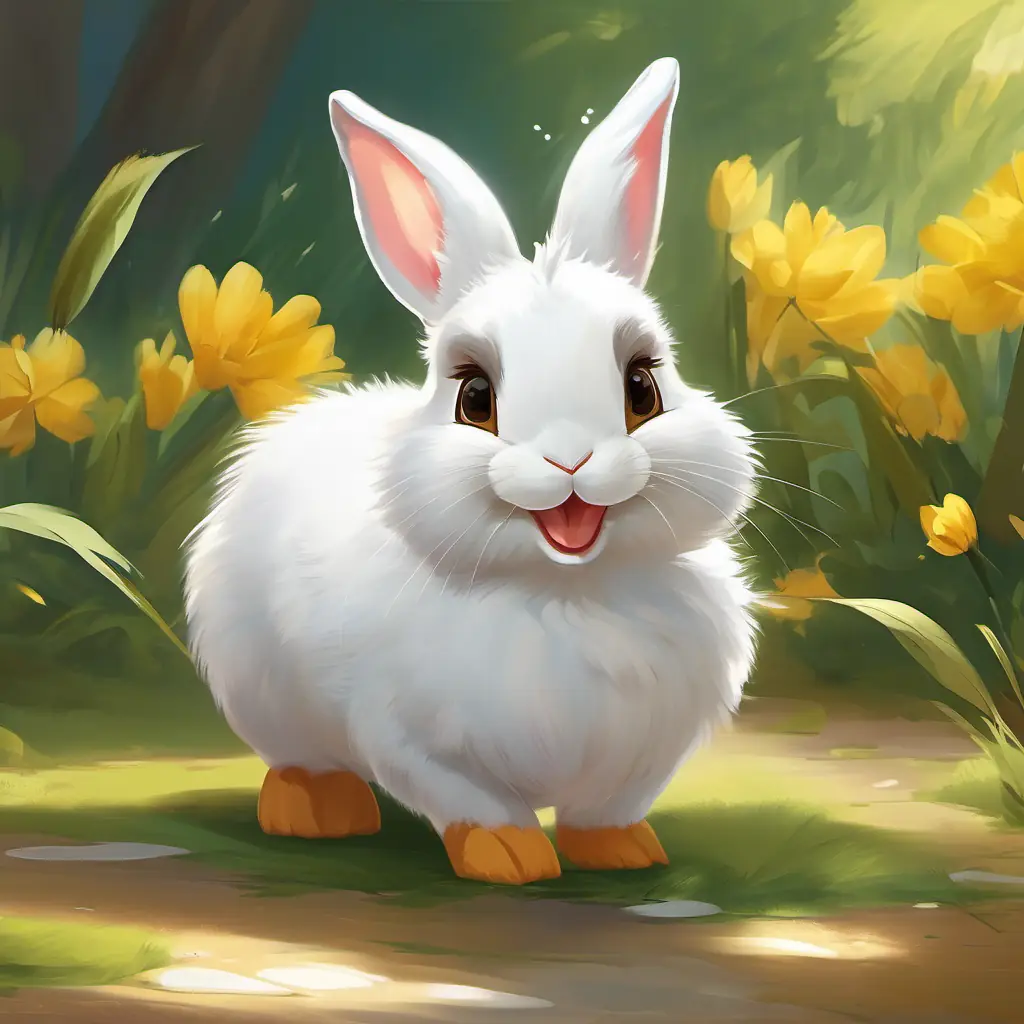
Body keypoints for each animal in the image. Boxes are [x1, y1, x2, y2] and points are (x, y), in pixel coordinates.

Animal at [183, 57, 759, 886]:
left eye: (642, 387)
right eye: (475, 398)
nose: (570, 458)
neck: (564, 592)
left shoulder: (644, 754)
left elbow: (608, 807)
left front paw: (622, 852)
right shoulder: (408, 736)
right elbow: (468, 800)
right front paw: (510, 857)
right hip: (259, 685)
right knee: (298, 755)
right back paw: (317, 811)